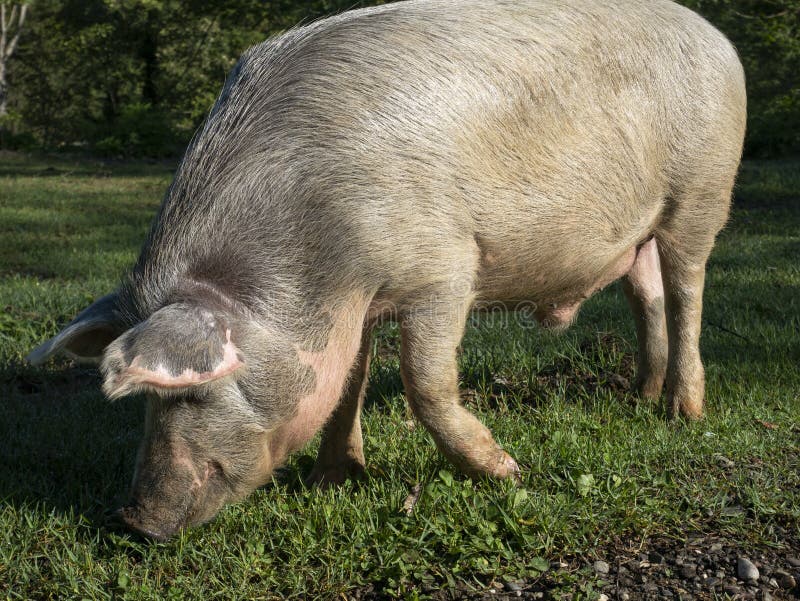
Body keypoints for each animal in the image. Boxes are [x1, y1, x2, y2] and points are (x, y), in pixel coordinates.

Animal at [27, 0, 746, 540]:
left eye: (193, 391)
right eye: (150, 400)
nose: (134, 521)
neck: (315, 254)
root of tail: (715, 35)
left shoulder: (445, 268)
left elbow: (424, 383)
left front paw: (506, 473)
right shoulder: (360, 300)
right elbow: (350, 379)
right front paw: (334, 478)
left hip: (702, 192)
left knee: (687, 291)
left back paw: (682, 413)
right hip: (640, 234)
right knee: (646, 297)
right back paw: (639, 396)